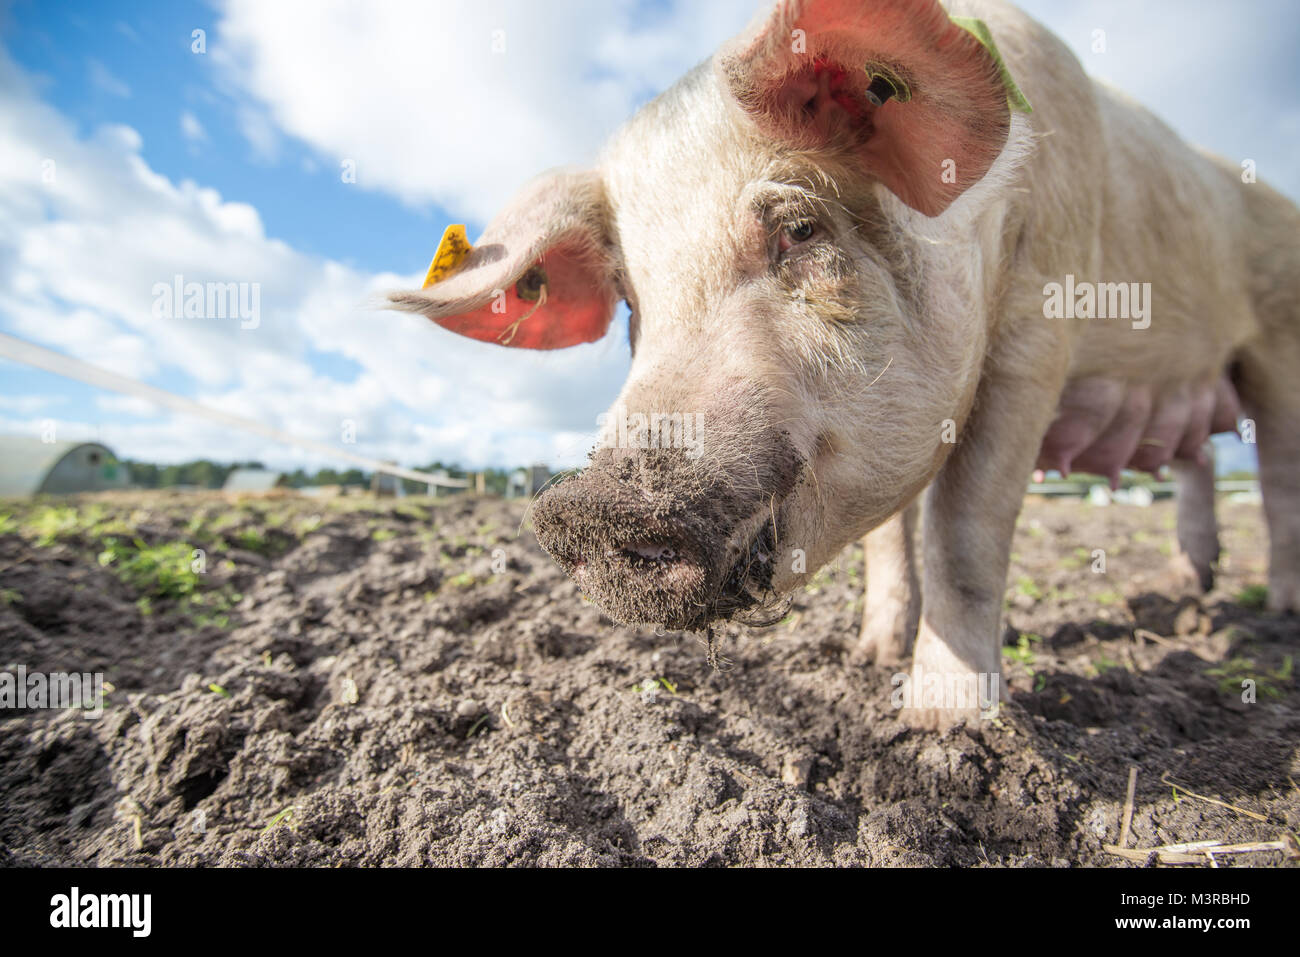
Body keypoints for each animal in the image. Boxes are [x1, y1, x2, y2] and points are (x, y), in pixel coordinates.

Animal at [390, 0, 1299, 727]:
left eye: (799, 229)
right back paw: (1190, 592)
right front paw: (869, 658)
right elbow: (891, 539)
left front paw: (943, 726)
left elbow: (964, 527)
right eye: (633, 304)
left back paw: (1279, 611)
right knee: (1198, 461)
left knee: (1277, 475)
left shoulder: (1039, 333)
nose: (589, 505)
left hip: (1277, 348)